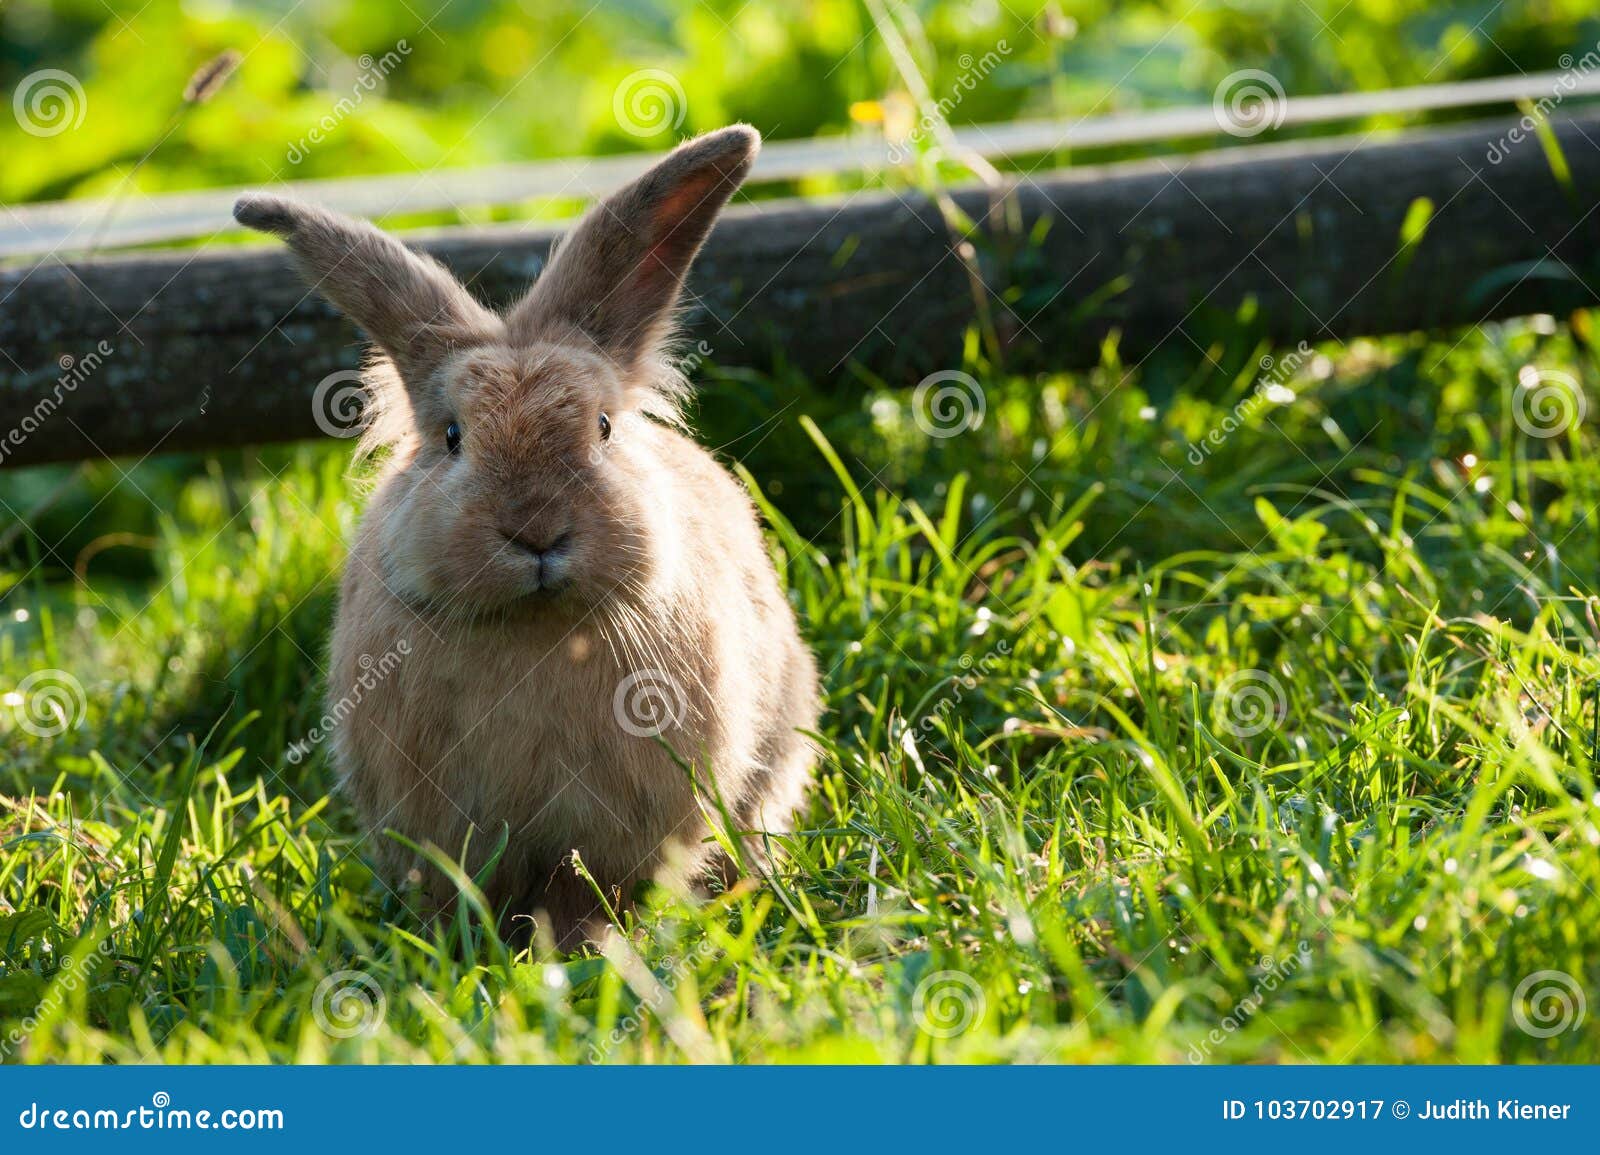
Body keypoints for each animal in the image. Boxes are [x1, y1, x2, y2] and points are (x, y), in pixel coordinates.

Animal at [233, 126, 820, 949]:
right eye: (452, 437)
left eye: (602, 428)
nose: (537, 530)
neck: (534, 625)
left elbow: (590, 893)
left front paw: (581, 949)